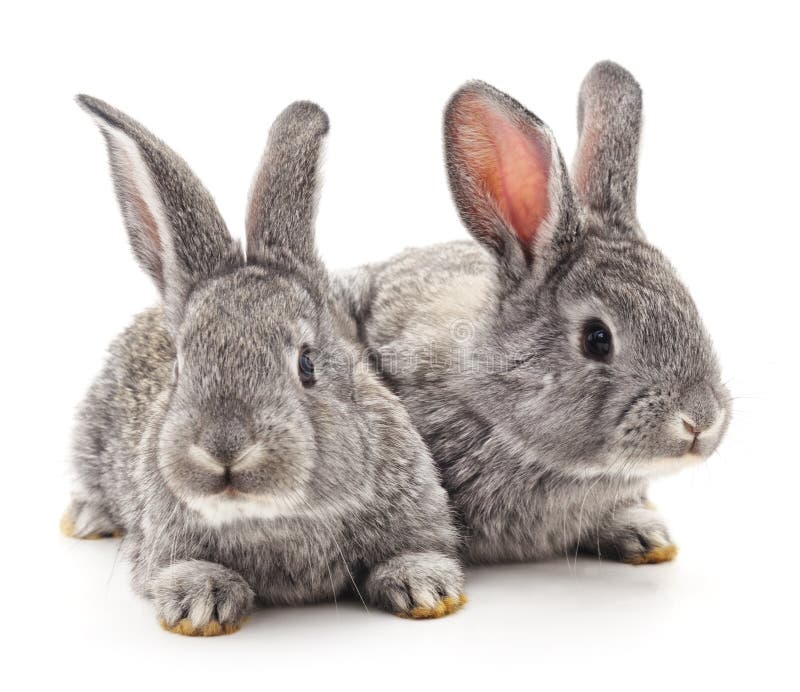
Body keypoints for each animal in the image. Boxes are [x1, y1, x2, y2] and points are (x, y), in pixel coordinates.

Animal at [61, 95, 466, 636]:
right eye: (180, 365)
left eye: (307, 364)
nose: (224, 450)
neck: (275, 515)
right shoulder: (162, 543)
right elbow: (181, 569)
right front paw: (201, 605)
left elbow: (418, 551)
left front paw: (425, 589)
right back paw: (87, 518)